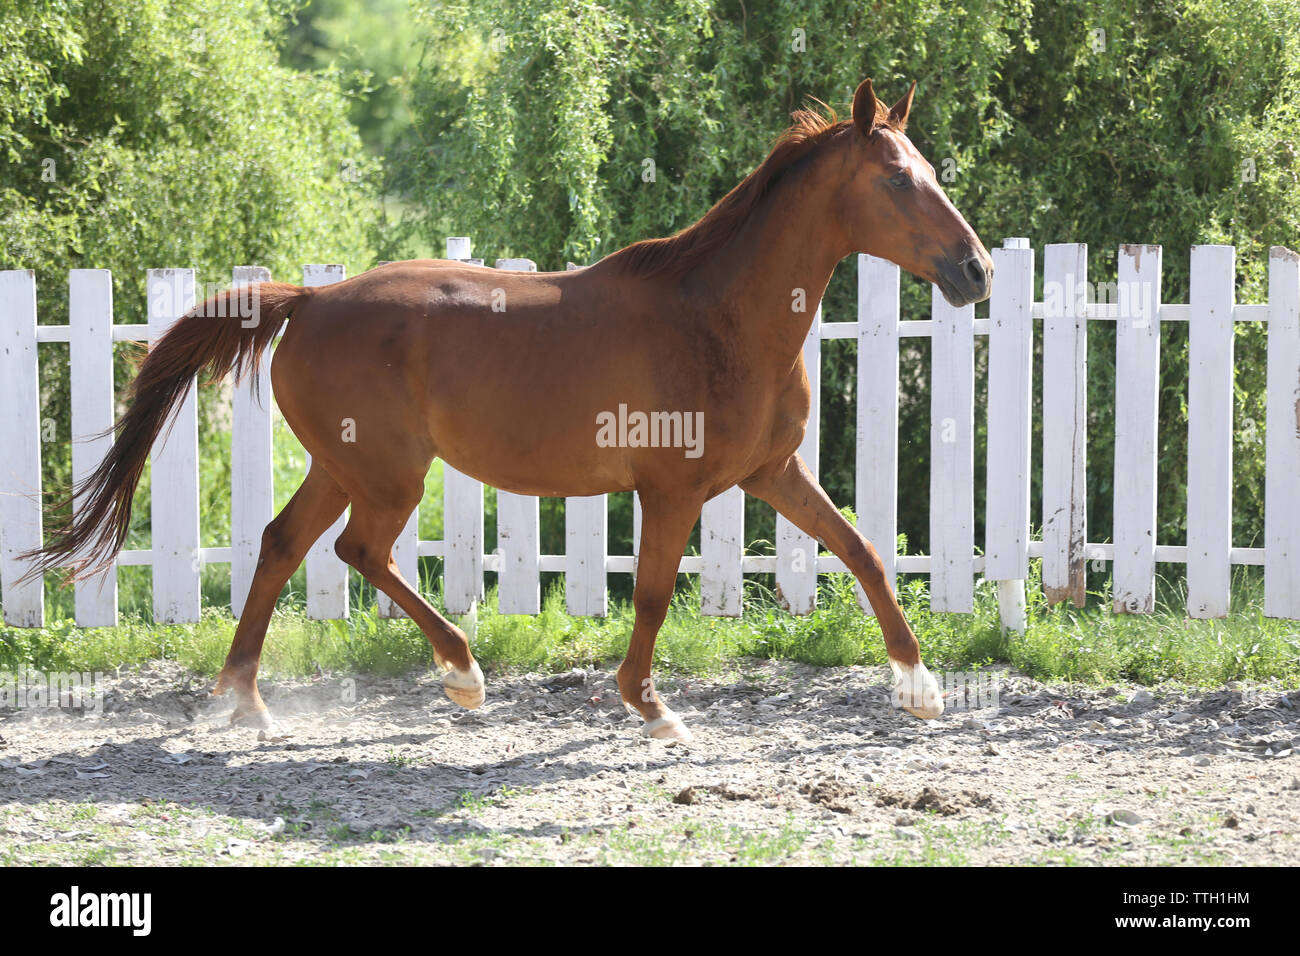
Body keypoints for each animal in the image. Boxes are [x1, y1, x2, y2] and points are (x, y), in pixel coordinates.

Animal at [25, 79, 992, 741]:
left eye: (928, 172)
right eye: (897, 182)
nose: (976, 271)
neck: (718, 318)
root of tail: (310, 300)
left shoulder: (771, 472)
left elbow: (863, 552)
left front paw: (919, 687)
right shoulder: (671, 490)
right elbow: (650, 595)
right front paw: (652, 708)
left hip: (345, 466)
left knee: (282, 545)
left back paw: (247, 702)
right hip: (388, 474)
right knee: (357, 551)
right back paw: (461, 673)